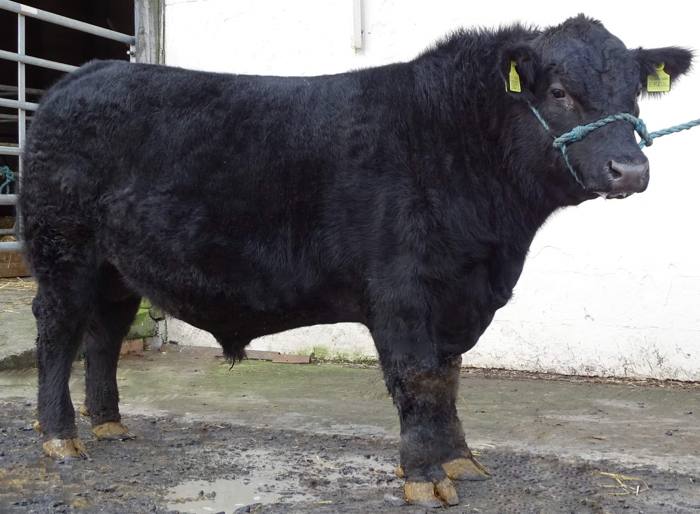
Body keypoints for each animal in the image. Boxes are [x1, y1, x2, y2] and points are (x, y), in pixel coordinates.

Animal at [21, 14, 692, 508]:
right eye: (558, 92)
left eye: (634, 92)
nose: (630, 170)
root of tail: (86, 75)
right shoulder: (402, 292)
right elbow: (417, 378)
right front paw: (425, 478)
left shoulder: (455, 299)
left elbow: (447, 377)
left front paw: (460, 460)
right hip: (64, 249)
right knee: (59, 331)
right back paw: (60, 438)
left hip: (116, 268)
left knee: (105, 334)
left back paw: (108, 423)